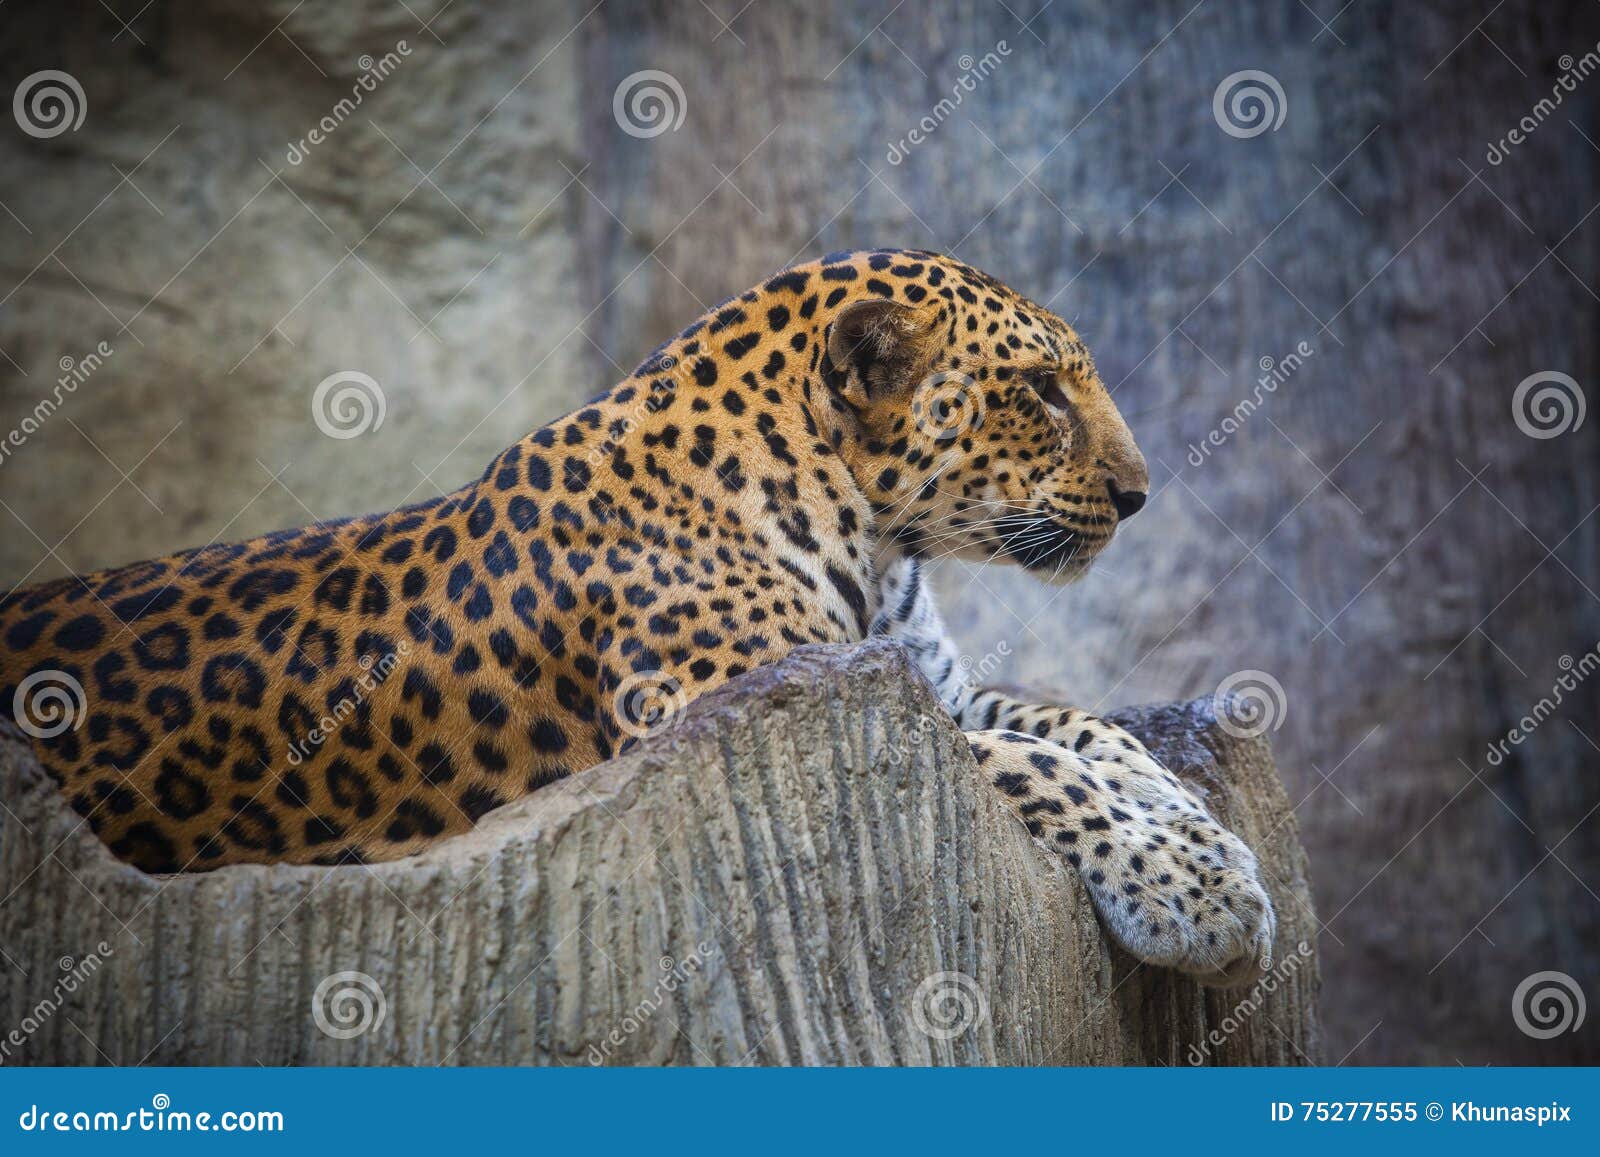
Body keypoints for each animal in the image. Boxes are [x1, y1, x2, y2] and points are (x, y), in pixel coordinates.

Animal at [0, 248, 1274, 986]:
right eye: (1039, 390)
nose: (1138, 492)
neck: (871, 540)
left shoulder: (915, 675)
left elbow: (1076, 724)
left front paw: (1188, 818)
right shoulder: (730, 708)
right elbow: (1019, 756)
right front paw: (1188, 880)